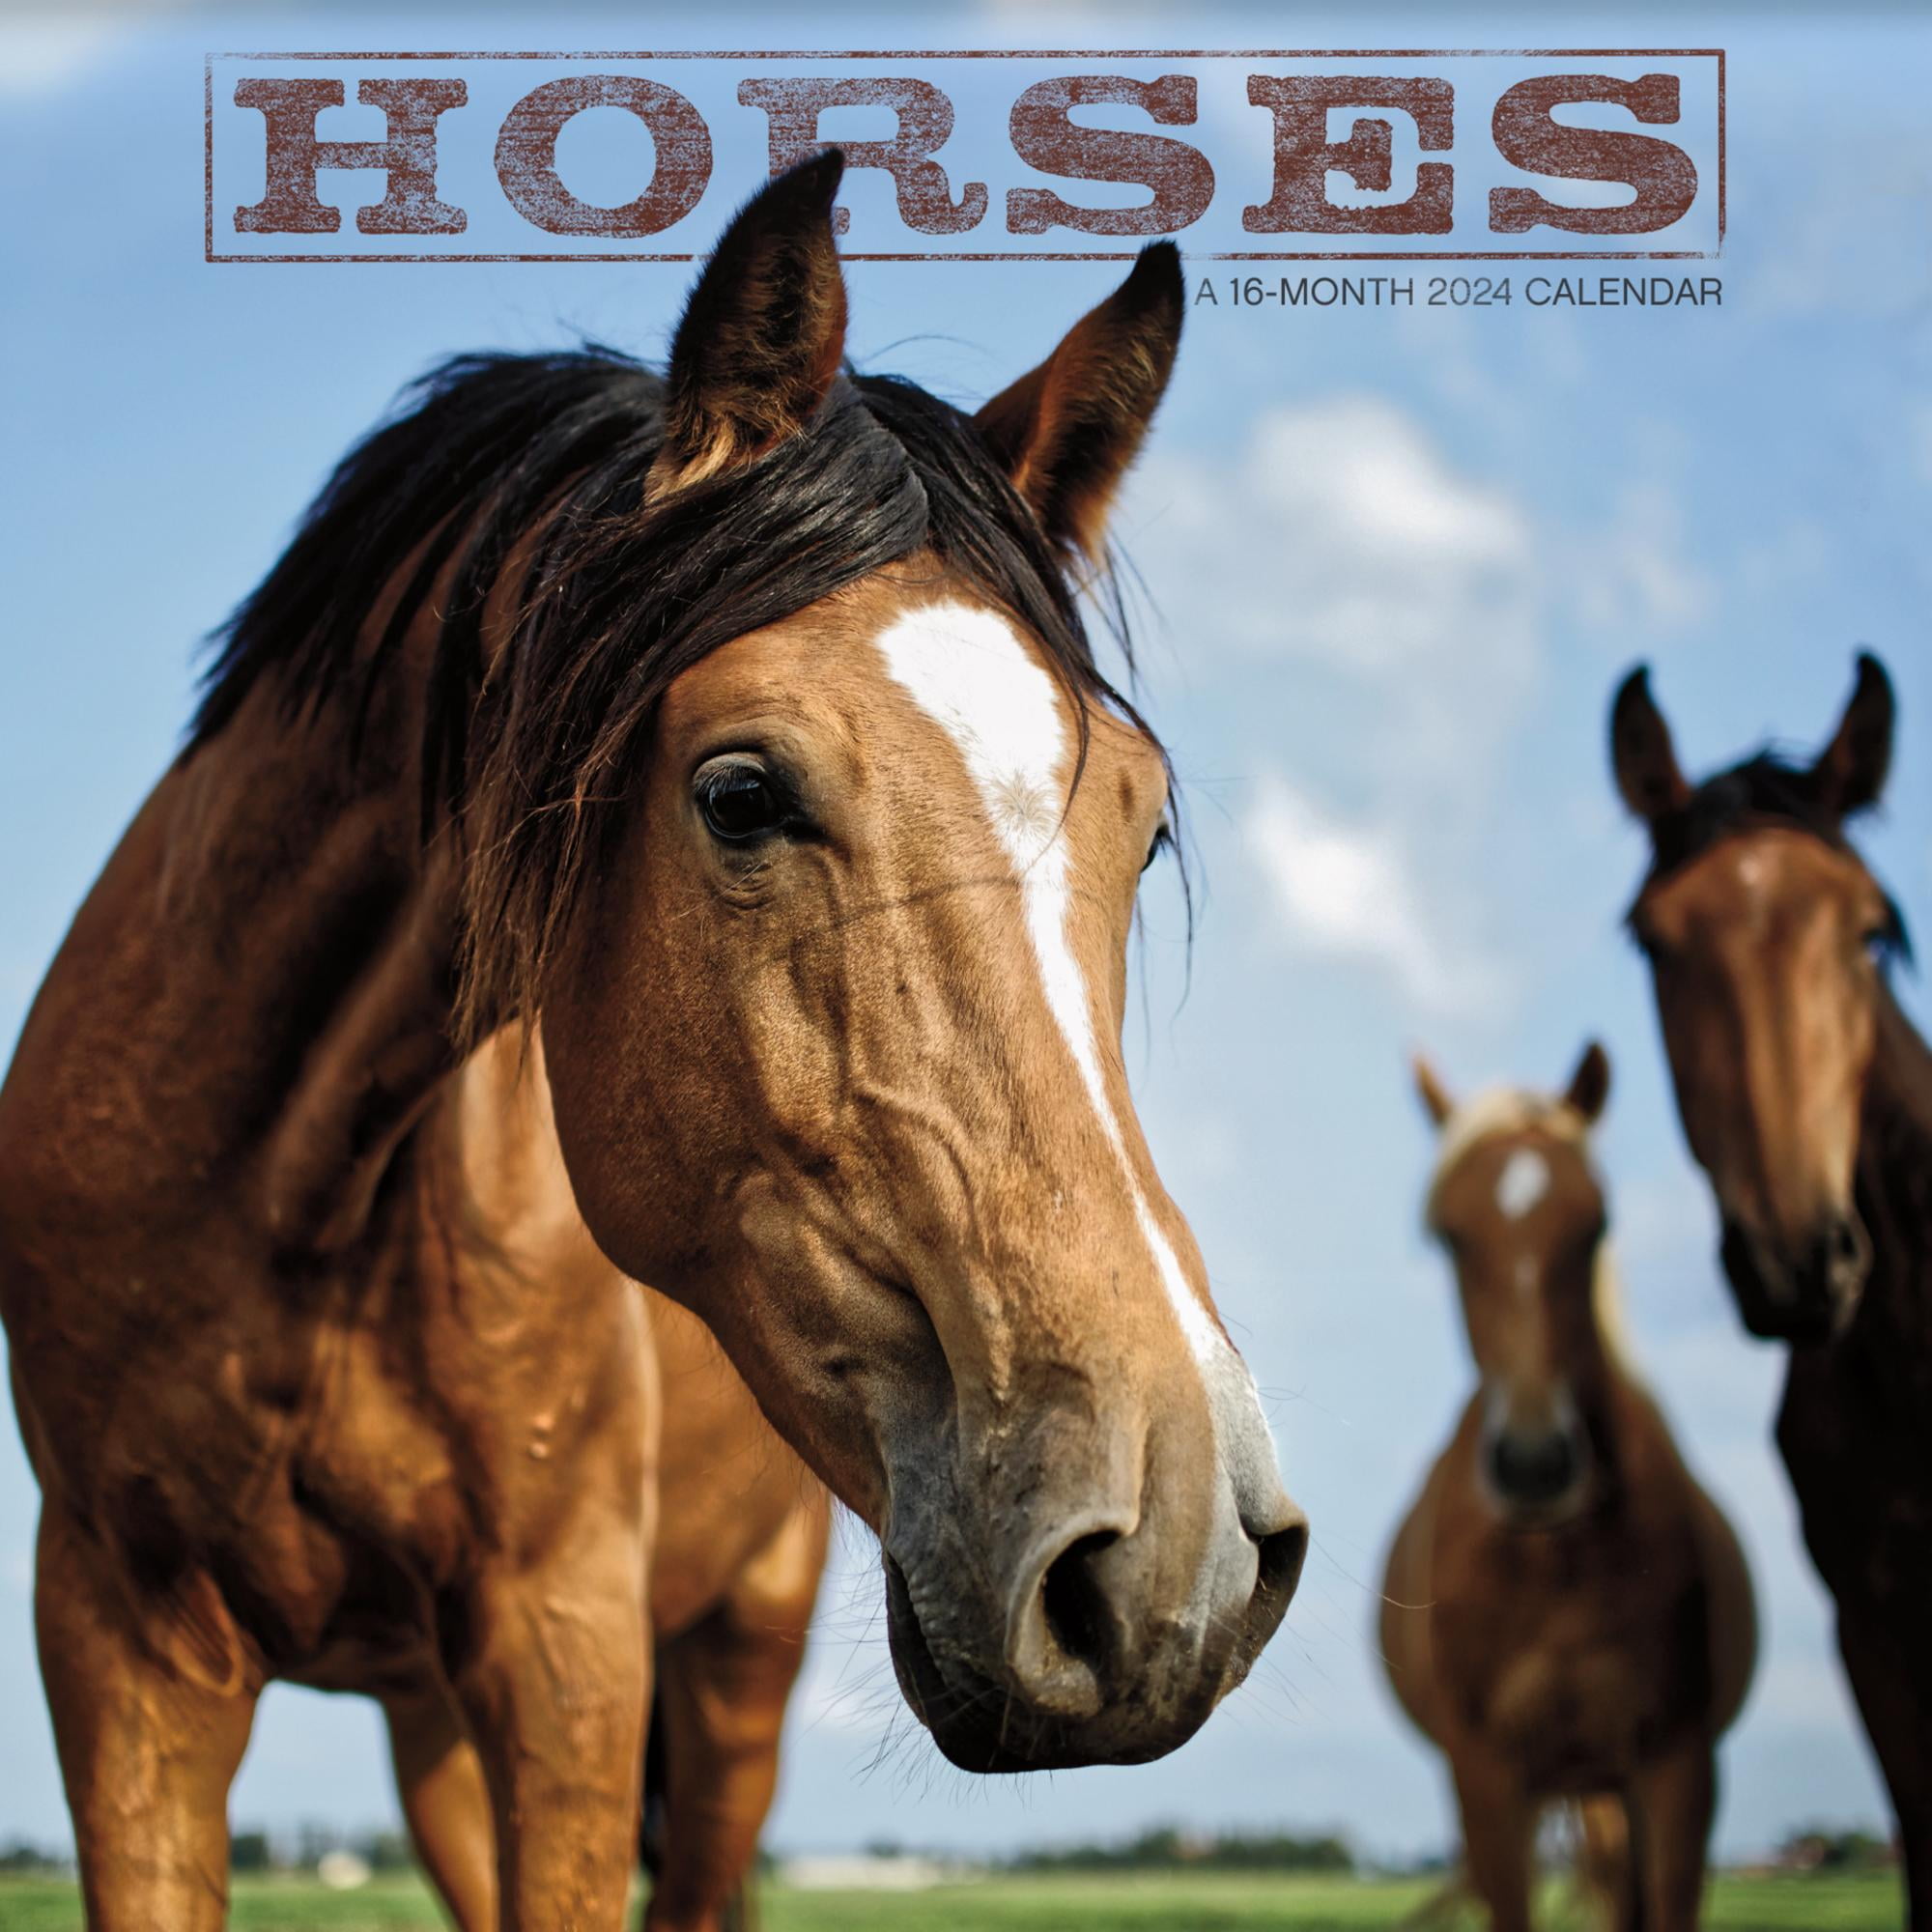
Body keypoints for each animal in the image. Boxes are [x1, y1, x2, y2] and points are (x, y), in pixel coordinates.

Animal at [0, 150, 1306, 1930]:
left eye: (1145, 823)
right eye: (740, 793)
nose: (1179, 1554)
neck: (294, 1203)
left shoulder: (573, 1652)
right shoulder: (121, 1650)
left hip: (734, 1666)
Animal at [1381, 1045, 1755, 1932]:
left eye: (1596, 1227)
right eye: (1449, 1236)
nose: (1534, 1465)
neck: (1559, 1562)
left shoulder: (1678, 1764)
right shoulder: (1486, 1775)